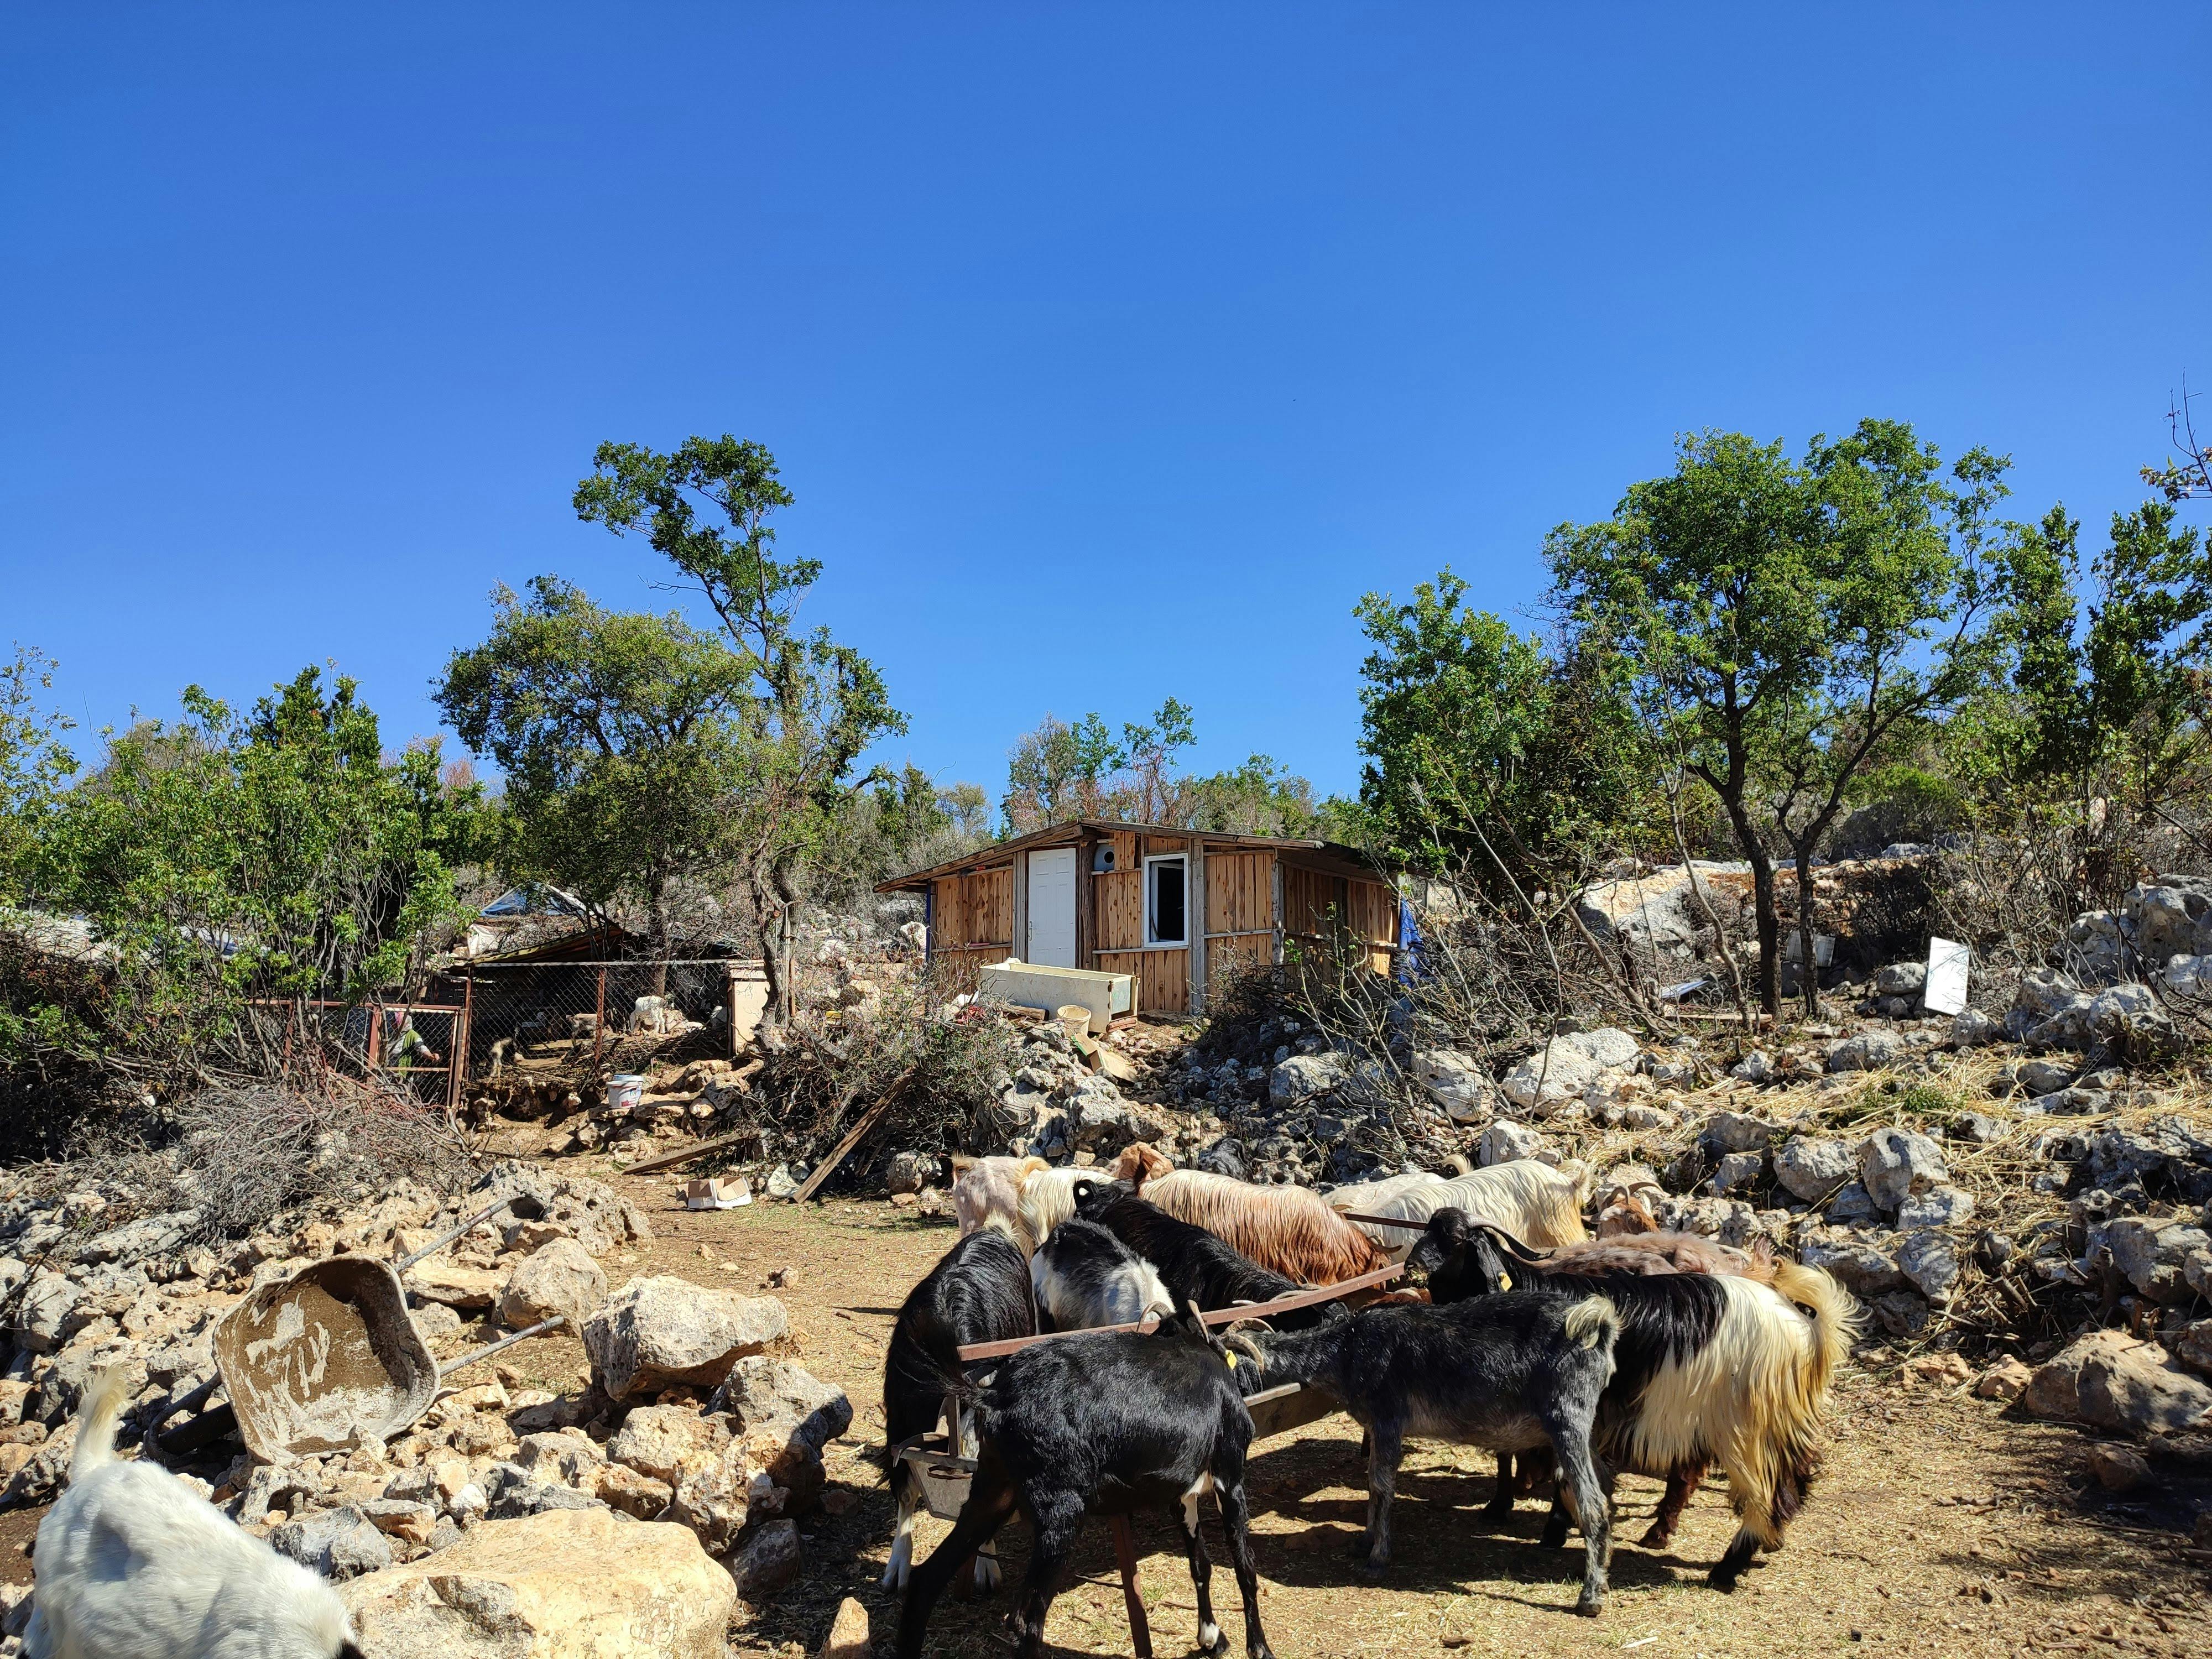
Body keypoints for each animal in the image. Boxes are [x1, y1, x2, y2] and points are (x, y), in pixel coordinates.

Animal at [895, 1305, 1276, 1659]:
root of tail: (996, 1398)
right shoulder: (1230, 1477)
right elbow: (1245, 1566)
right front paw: (1259, 1648)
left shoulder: (1182, 1495)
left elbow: (1201, 1563)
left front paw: (1211, 1637)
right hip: (1060, 1511)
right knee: (1025, 1618)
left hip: (993, 1491)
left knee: (925, 1581)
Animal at [1252, 1291, 1623, 1616]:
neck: (1348, 1349)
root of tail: (1599, 1325)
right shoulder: (1377, 1427)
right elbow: (1372, 1483)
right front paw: (1365, 1541)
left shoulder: (1388, 1420)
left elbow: (1383, 1485)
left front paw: (1378, 1558)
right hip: (1583, 1428)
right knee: (1605, 1486)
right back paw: (1604, 1577)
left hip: (1567, 1419)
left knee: (1592, 1503)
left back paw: (1589, 1598)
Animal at [1407, 1208, 1858, 1591]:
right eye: (1426, 1230)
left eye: (1458, 1241)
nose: (1413, 1267)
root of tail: (1806, 1327)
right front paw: (1553, 1525)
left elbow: (1561, 1471)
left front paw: (1553, 1527)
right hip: (1773, 1422)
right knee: (1794, 1482)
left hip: (1743, 1426)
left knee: (1765, 1493)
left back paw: (1725, 1567)